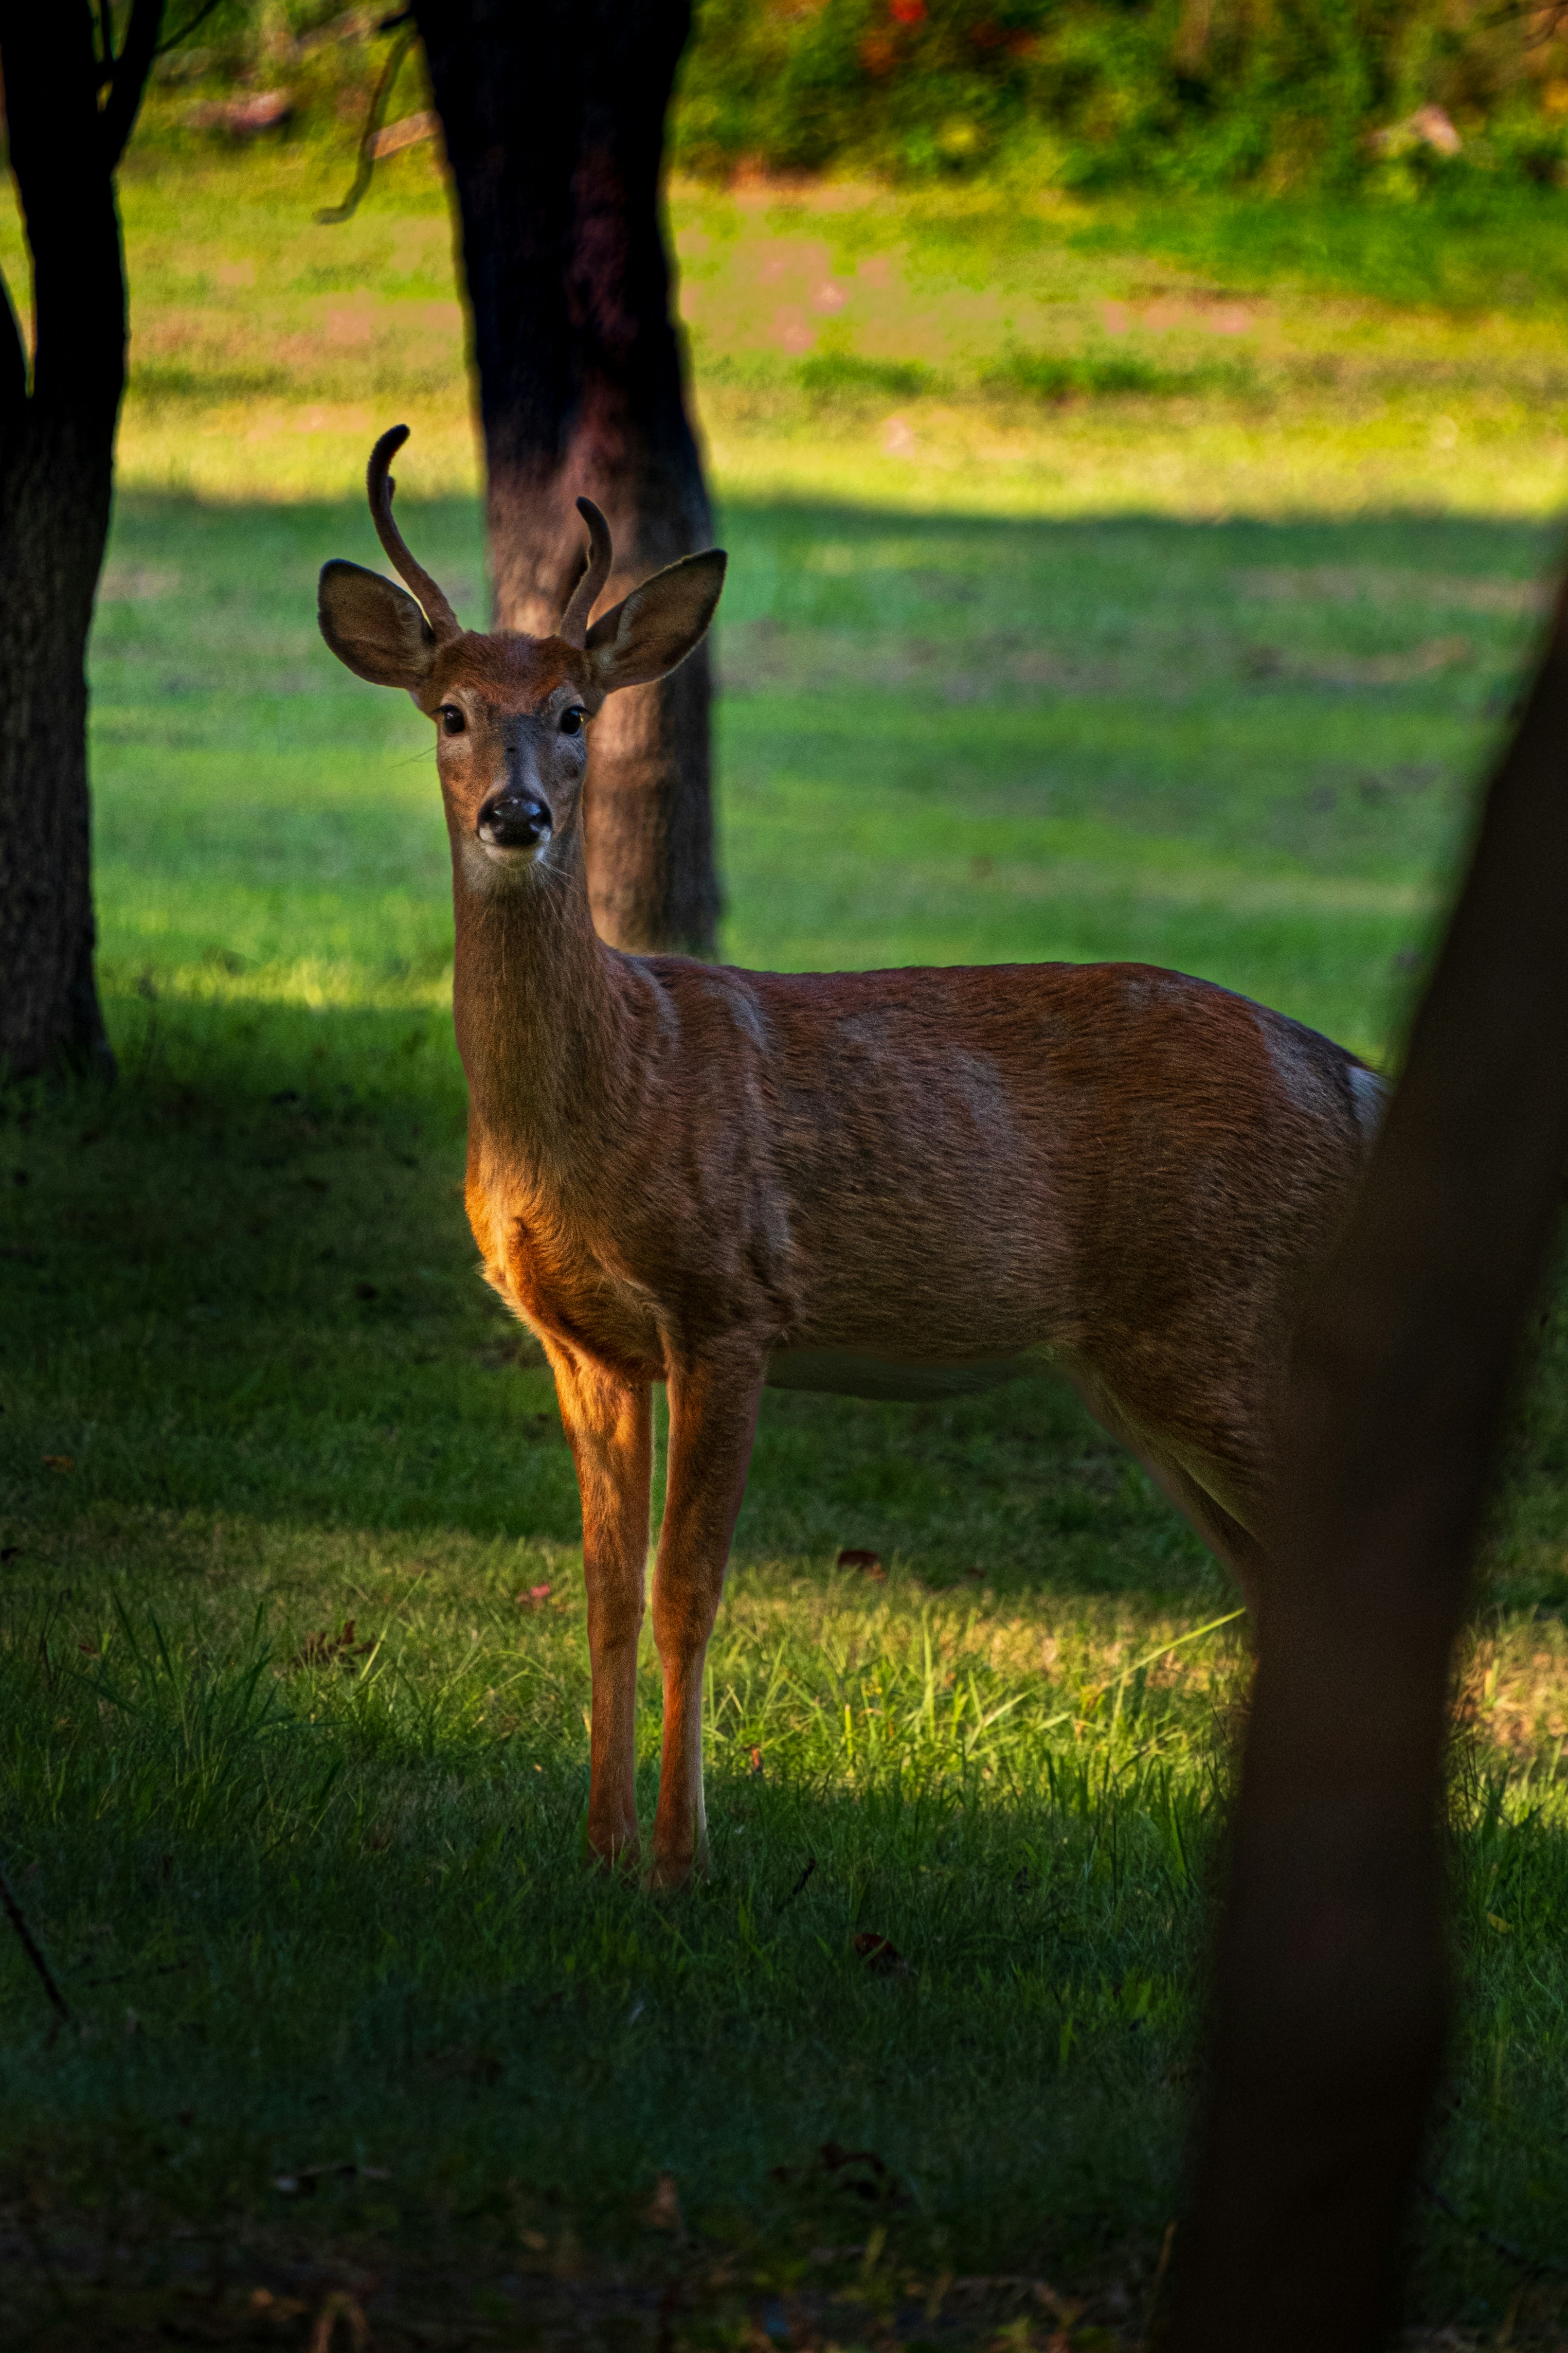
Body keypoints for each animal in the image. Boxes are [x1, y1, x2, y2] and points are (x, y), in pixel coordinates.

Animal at [317, 424, 1387, 1888]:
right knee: (1282, 1587)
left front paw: (680, 1862)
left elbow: (686, 1590)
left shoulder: (728, 1301)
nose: (517, 817)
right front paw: (597, 1848)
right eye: (452, 713)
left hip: (1216, 1316)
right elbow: (600, 1593)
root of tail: (1350, 1077)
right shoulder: (583, 1339)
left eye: (578, 712)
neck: (610, 1084)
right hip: (1153, 1365)